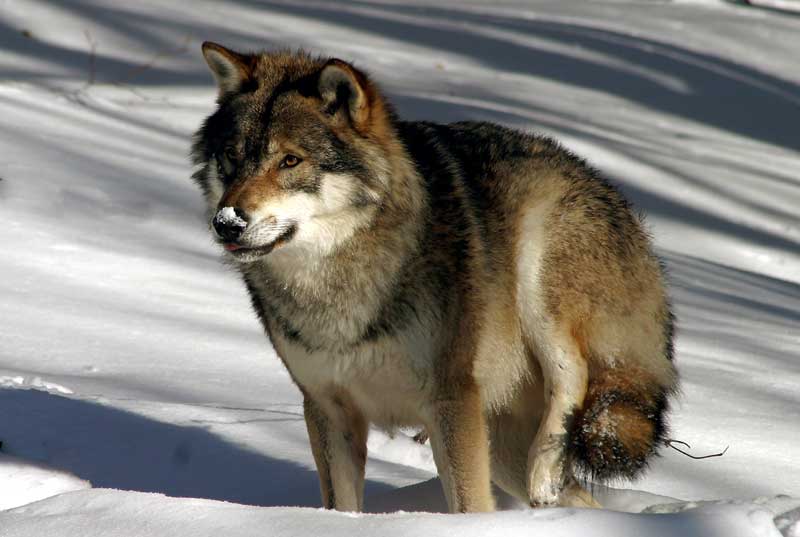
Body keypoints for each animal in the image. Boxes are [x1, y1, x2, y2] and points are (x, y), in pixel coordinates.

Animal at [191, 42, 678, 513]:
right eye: (231, 156)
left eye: (290, 161)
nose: (227, 223)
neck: (338, 283)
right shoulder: (328, 409)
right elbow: (342, 508)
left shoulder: (450, 401)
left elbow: (469, 507)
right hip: (502, 447)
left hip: (539, 274)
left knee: (573, 373)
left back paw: (545, 469)